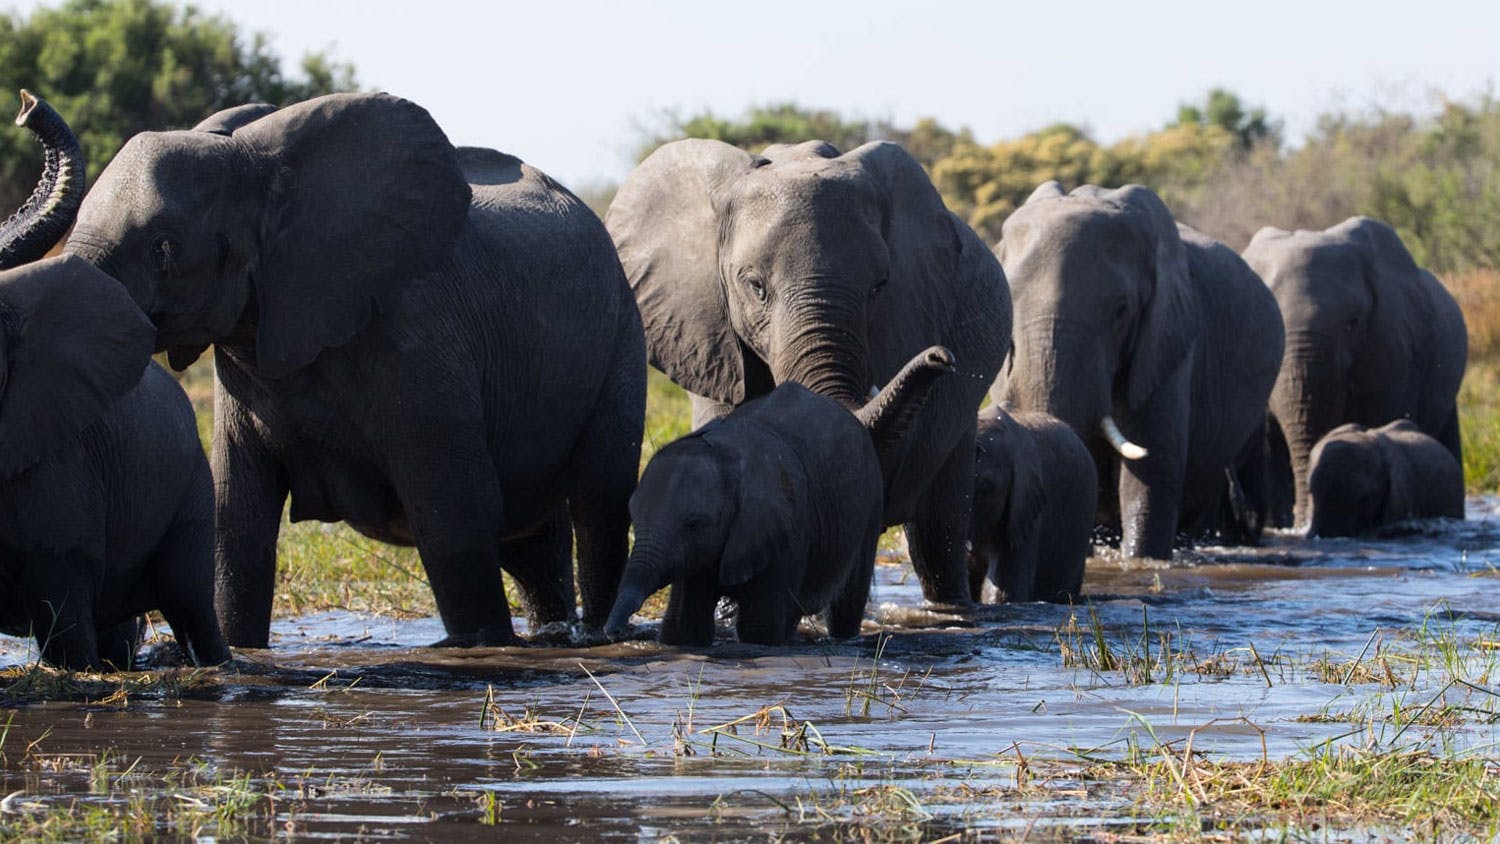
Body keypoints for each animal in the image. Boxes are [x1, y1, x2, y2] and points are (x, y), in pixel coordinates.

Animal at [64, 93, 647, 648]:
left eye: (165, 248)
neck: (261, 168)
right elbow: (237, 524)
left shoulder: (420, 334)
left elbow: (454, 513)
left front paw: (482, 647)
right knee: (530, 539)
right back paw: (554, 635)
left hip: (621, 331)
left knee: (598, 503)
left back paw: (598, 636)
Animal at [605, 346, 956, 646]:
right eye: (633, 519)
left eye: (693, 524)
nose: (614, 633)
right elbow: (683, 626)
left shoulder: (785, 531)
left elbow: (758, 628)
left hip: (867, 506)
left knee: (845, 602)